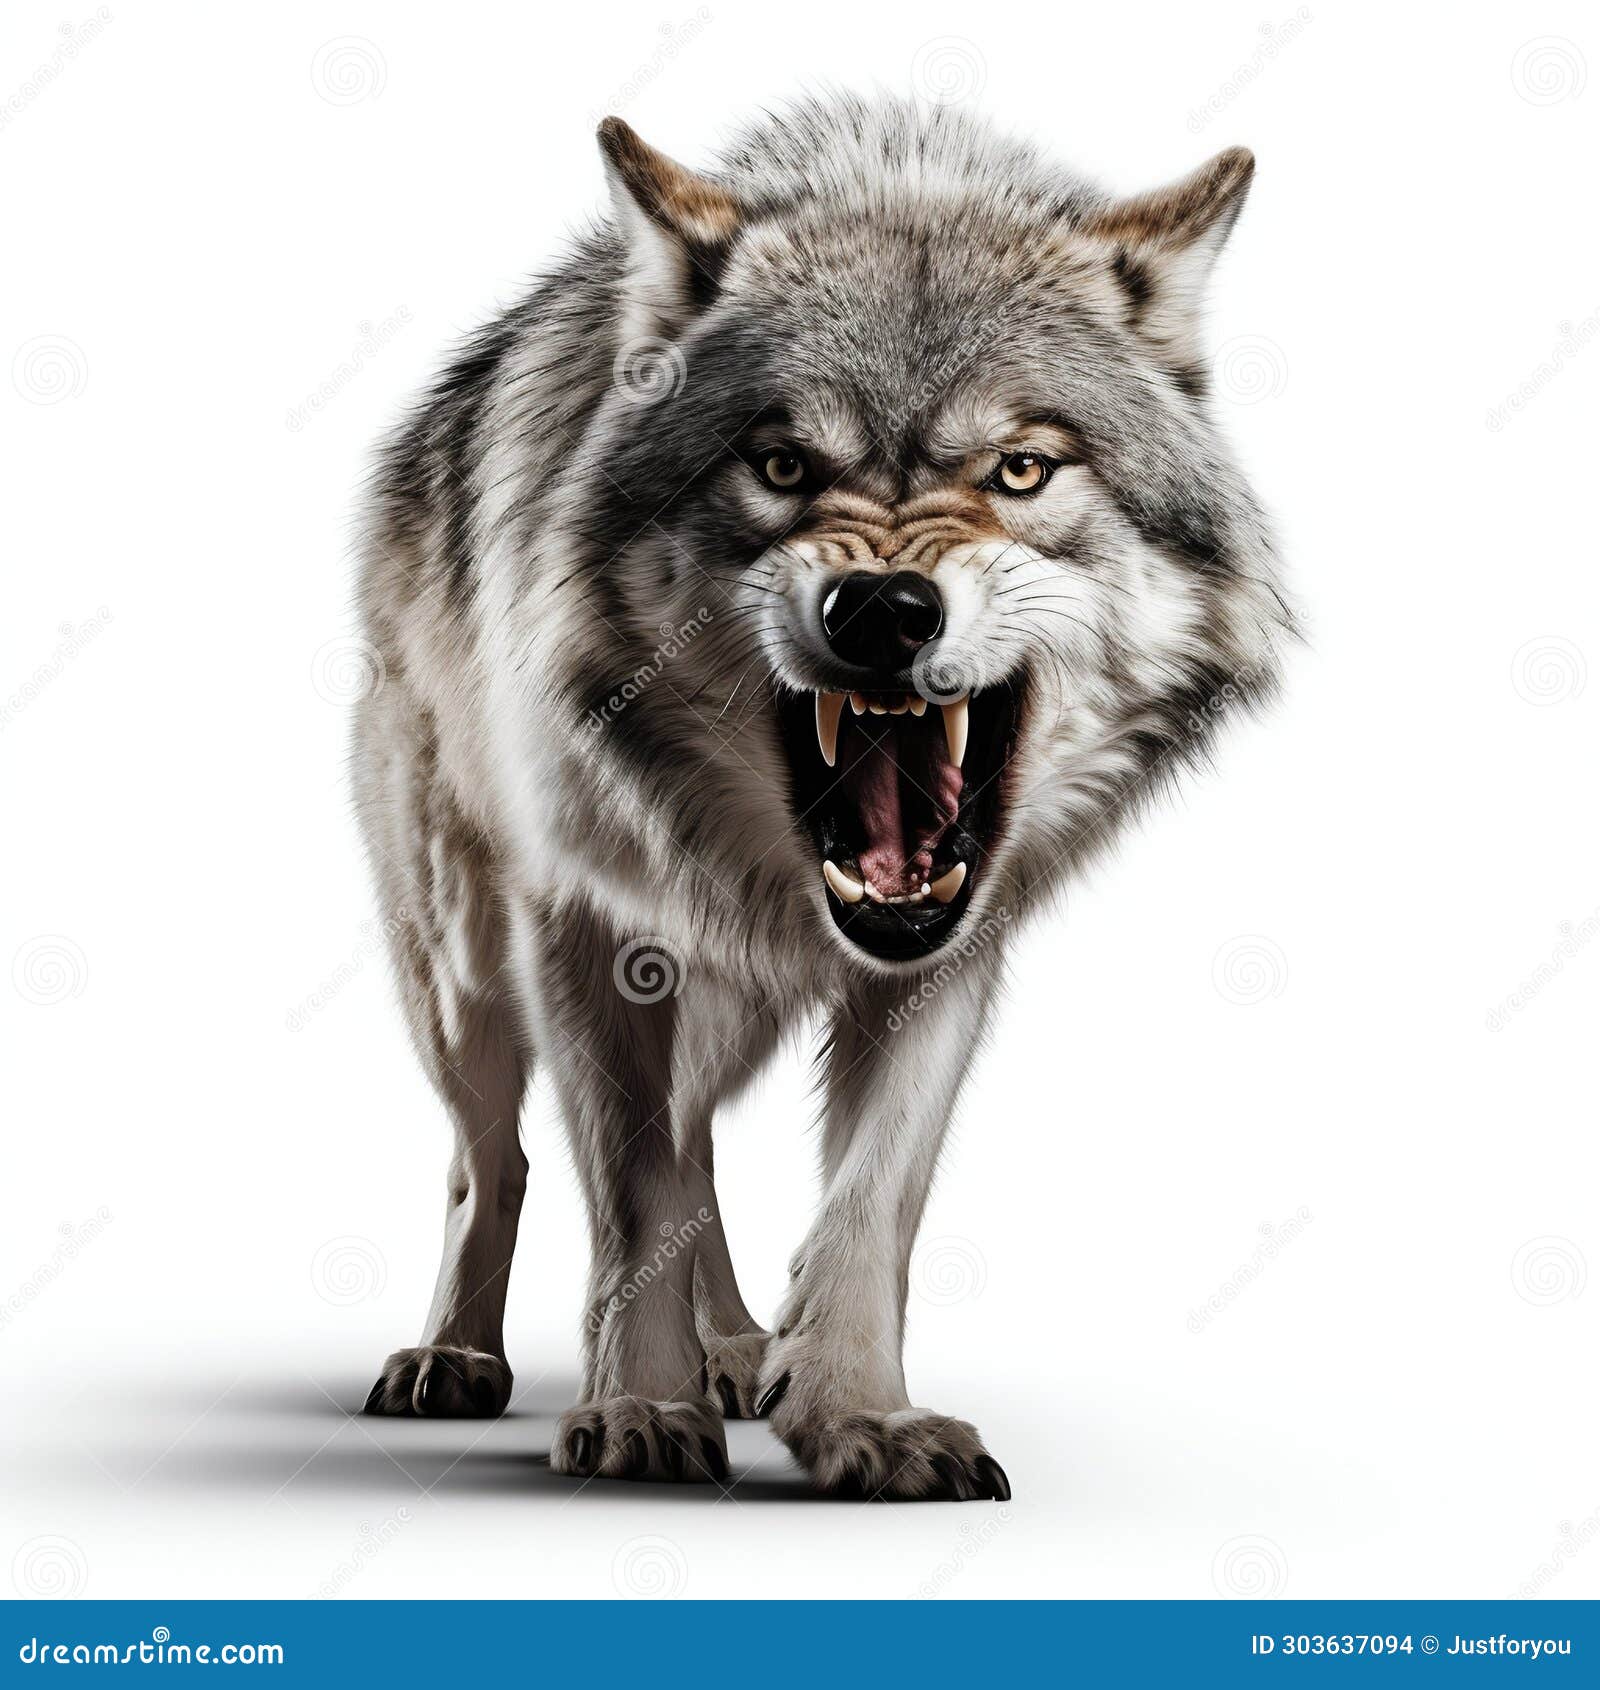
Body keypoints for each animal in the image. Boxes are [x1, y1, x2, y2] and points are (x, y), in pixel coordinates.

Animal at [353, 95, 1291, 1499]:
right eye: (783, 464)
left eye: (1022, 470)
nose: (885, 608)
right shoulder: (584, 925)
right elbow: (630, 1189)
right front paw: (637, 1411)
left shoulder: (948, 955)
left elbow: (867, 1197)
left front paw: (858, 1415)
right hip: (464, 967)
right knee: (496, 1158)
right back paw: (456, 1355)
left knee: (693, 1145)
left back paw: (737, 1348)